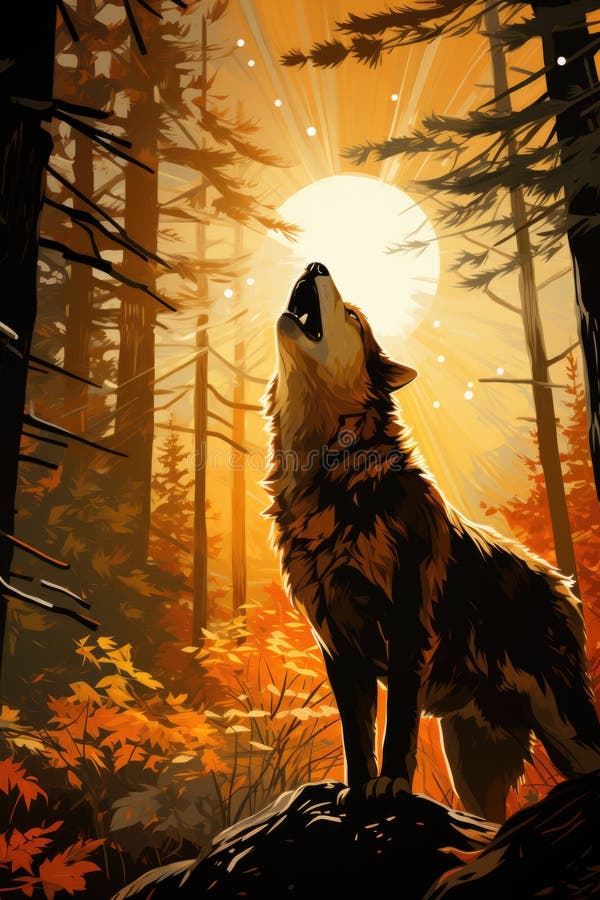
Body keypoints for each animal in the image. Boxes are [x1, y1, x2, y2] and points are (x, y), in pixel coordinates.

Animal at [263, 261, 600, 823]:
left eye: (351, 315)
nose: (315, 265)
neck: (336, 475)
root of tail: (563, 584)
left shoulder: (405, 627)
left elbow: (397, 724)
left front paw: (391, 785)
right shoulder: (337, 646)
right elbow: (356, 736)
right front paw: (357, 790)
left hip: (562, 723)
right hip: (472, 765)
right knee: (489, 820)